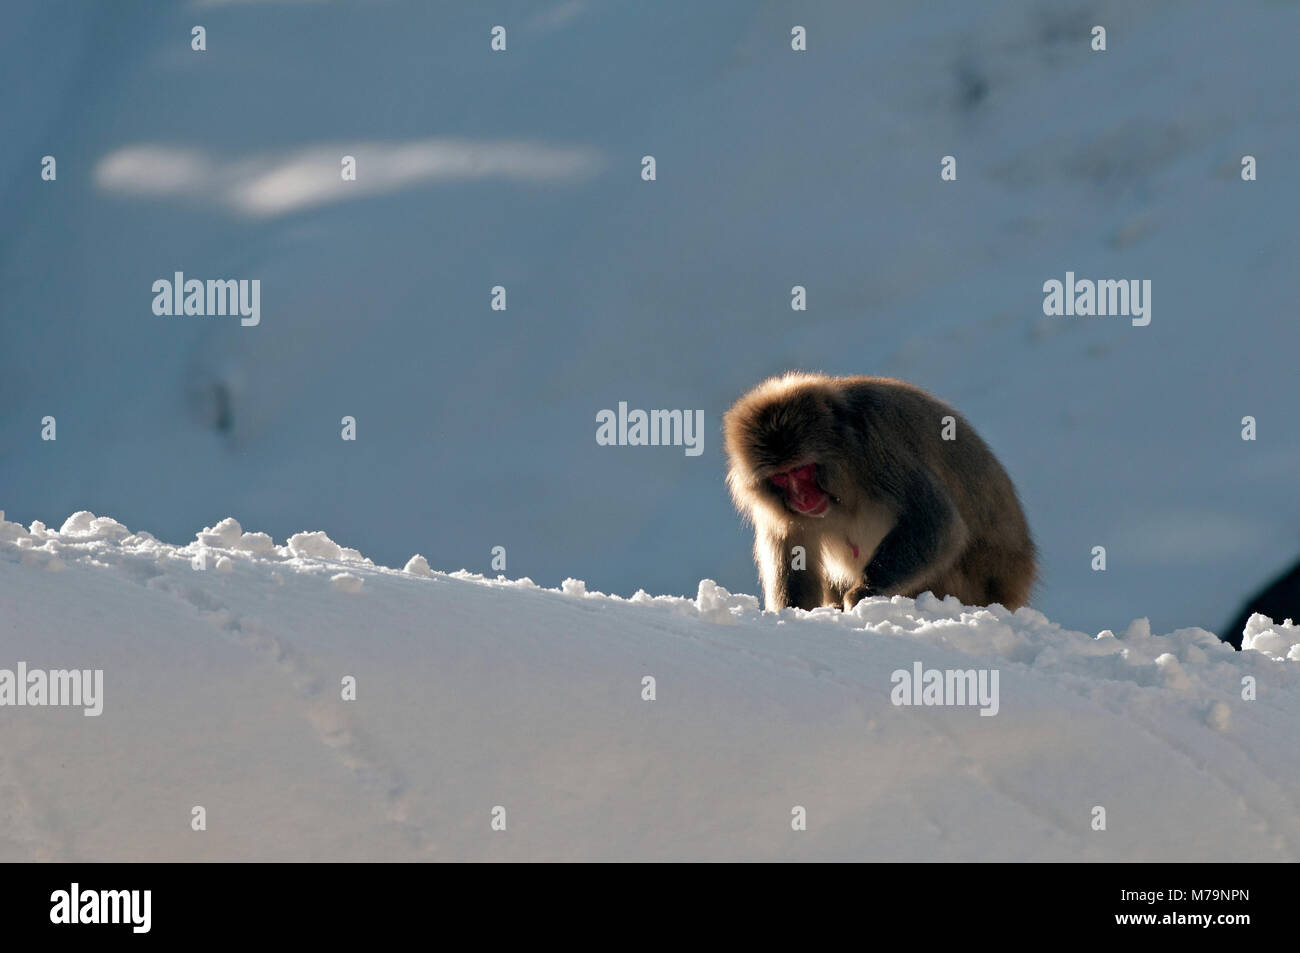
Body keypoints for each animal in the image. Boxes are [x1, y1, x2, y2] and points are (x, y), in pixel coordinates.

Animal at [722, 372, 1036, 613]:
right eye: (781, 477)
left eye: (801, 469)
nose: (802, 498)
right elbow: (796, 559)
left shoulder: (877, 447)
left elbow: (936, 523)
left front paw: (861, 593)